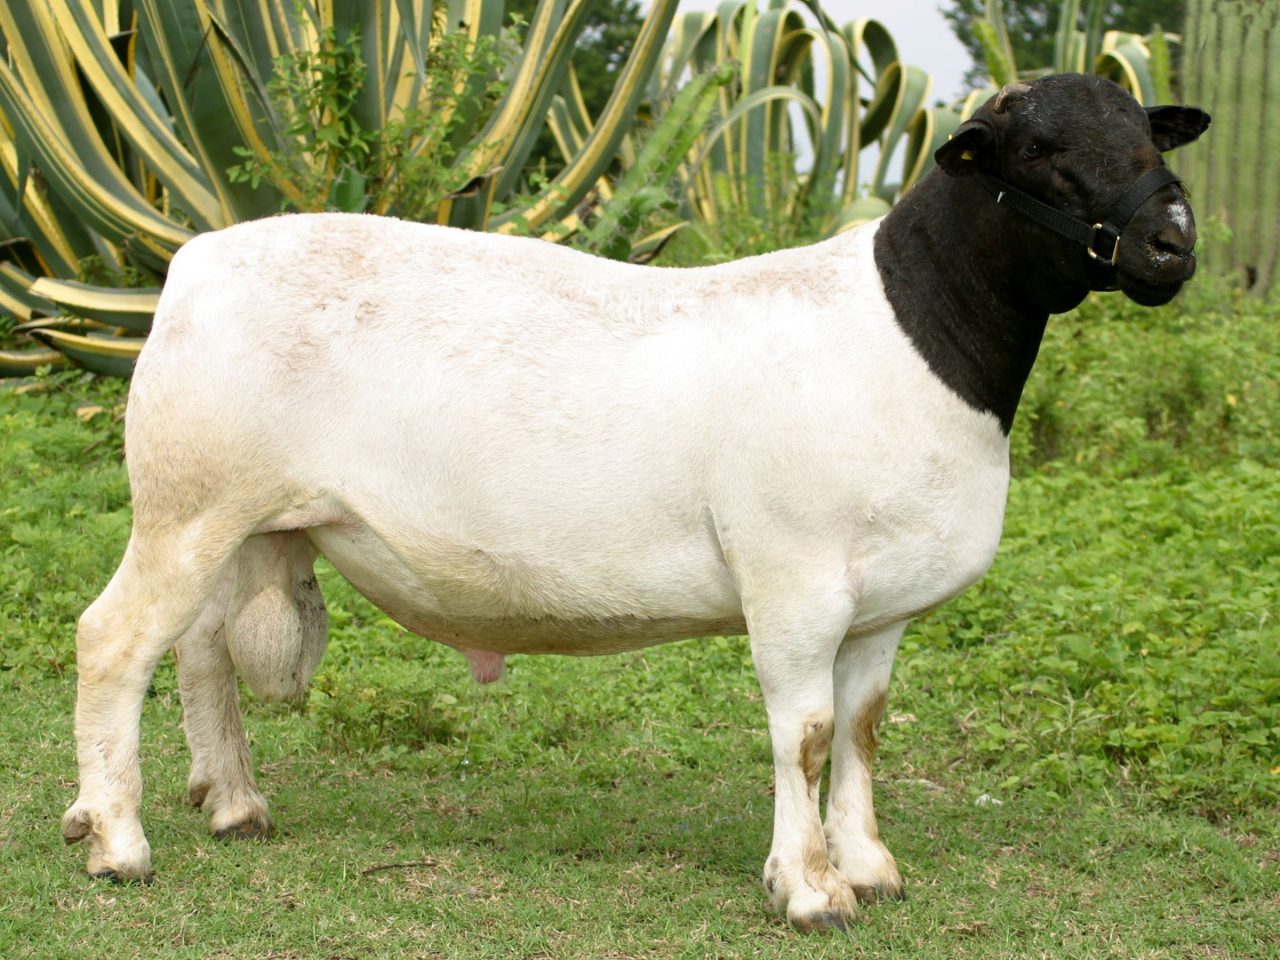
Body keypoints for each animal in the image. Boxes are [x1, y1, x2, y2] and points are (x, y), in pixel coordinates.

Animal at [61, 74, 1208, 931]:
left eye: (1147, 133)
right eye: (1041, 153)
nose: (1173, 240)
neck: (912, 333)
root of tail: (192, 263)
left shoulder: (878, 603)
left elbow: (863, 729)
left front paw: (867, 867)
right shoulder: (792, 579)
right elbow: (802, 733)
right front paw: (809, 891)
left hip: (235, 515)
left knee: (200, 651)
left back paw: (229, 803)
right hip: (187, 499)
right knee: (114, 641)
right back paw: (117, 842)